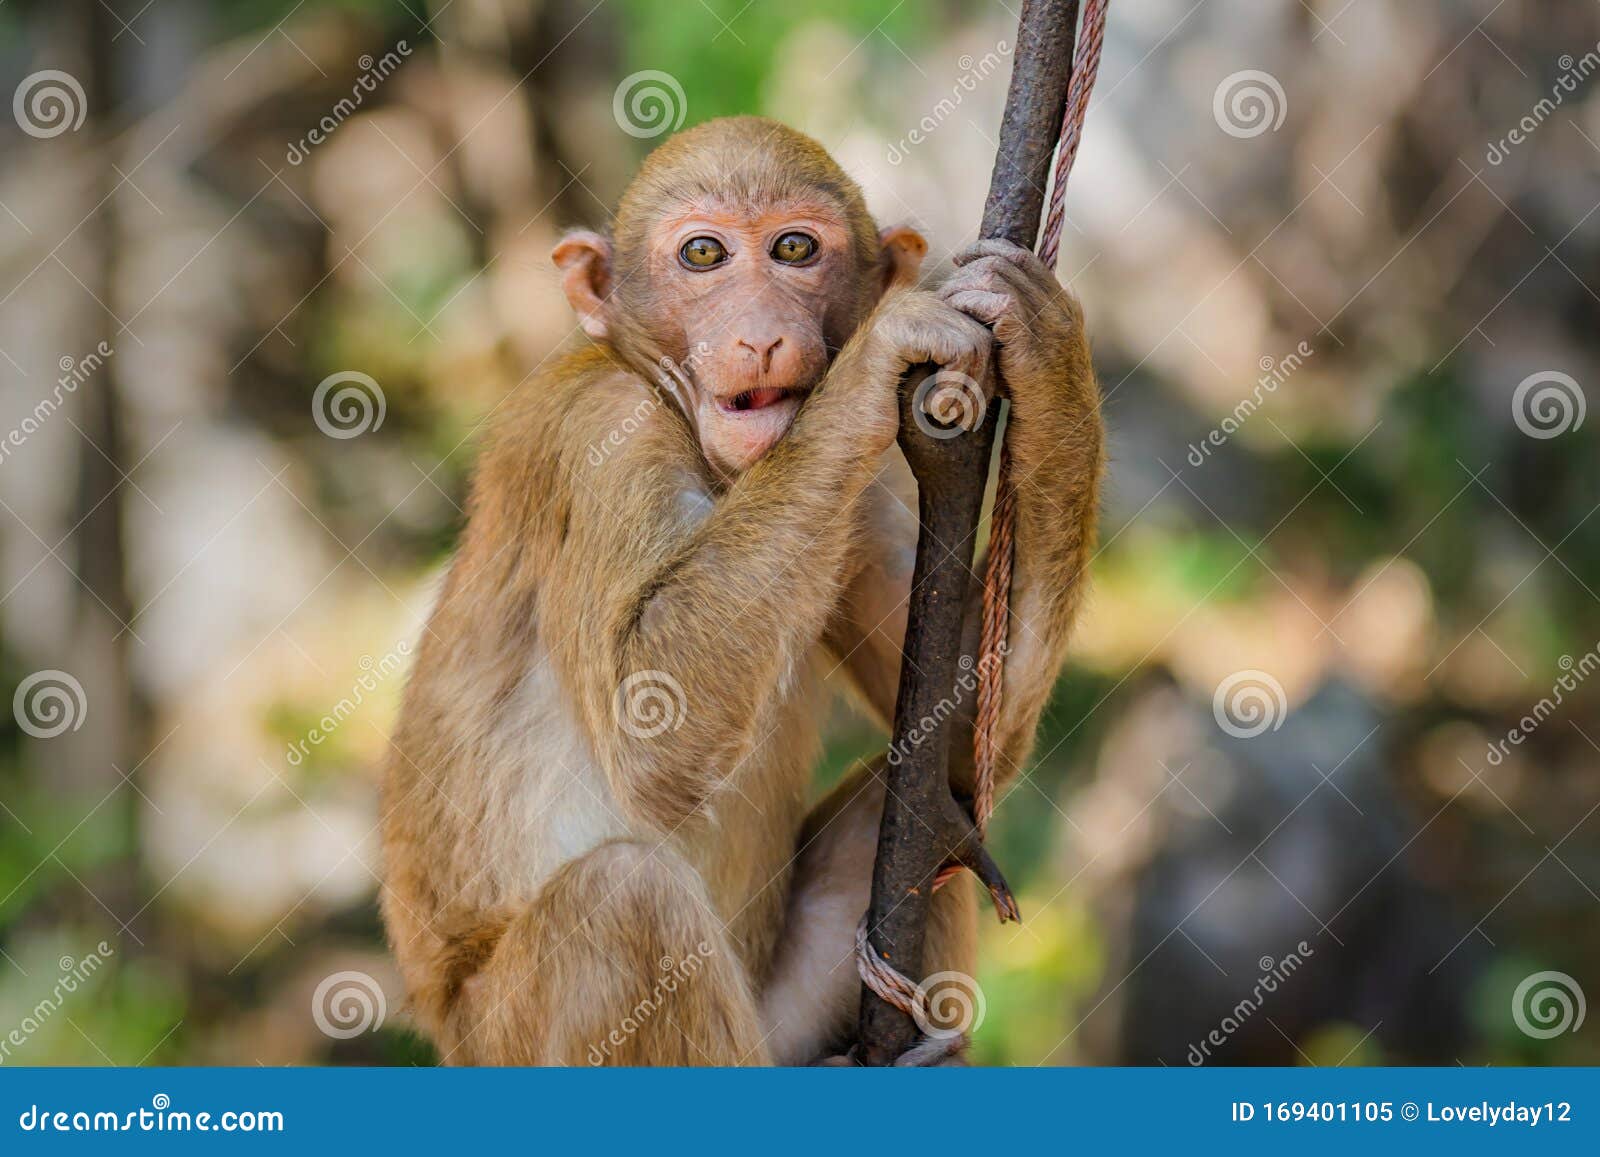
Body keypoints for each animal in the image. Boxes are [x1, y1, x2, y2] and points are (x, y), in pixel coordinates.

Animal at [379, 116, 1102, 1066]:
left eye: (795, 248)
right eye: (703, 255)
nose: (760, 332)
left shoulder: (864, 500)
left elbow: (958, 745)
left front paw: (1048, 351)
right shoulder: (599, 433)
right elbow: (649, 729)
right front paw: (880, 353)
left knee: (904, 812)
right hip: (507, 1041)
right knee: (623, 899)